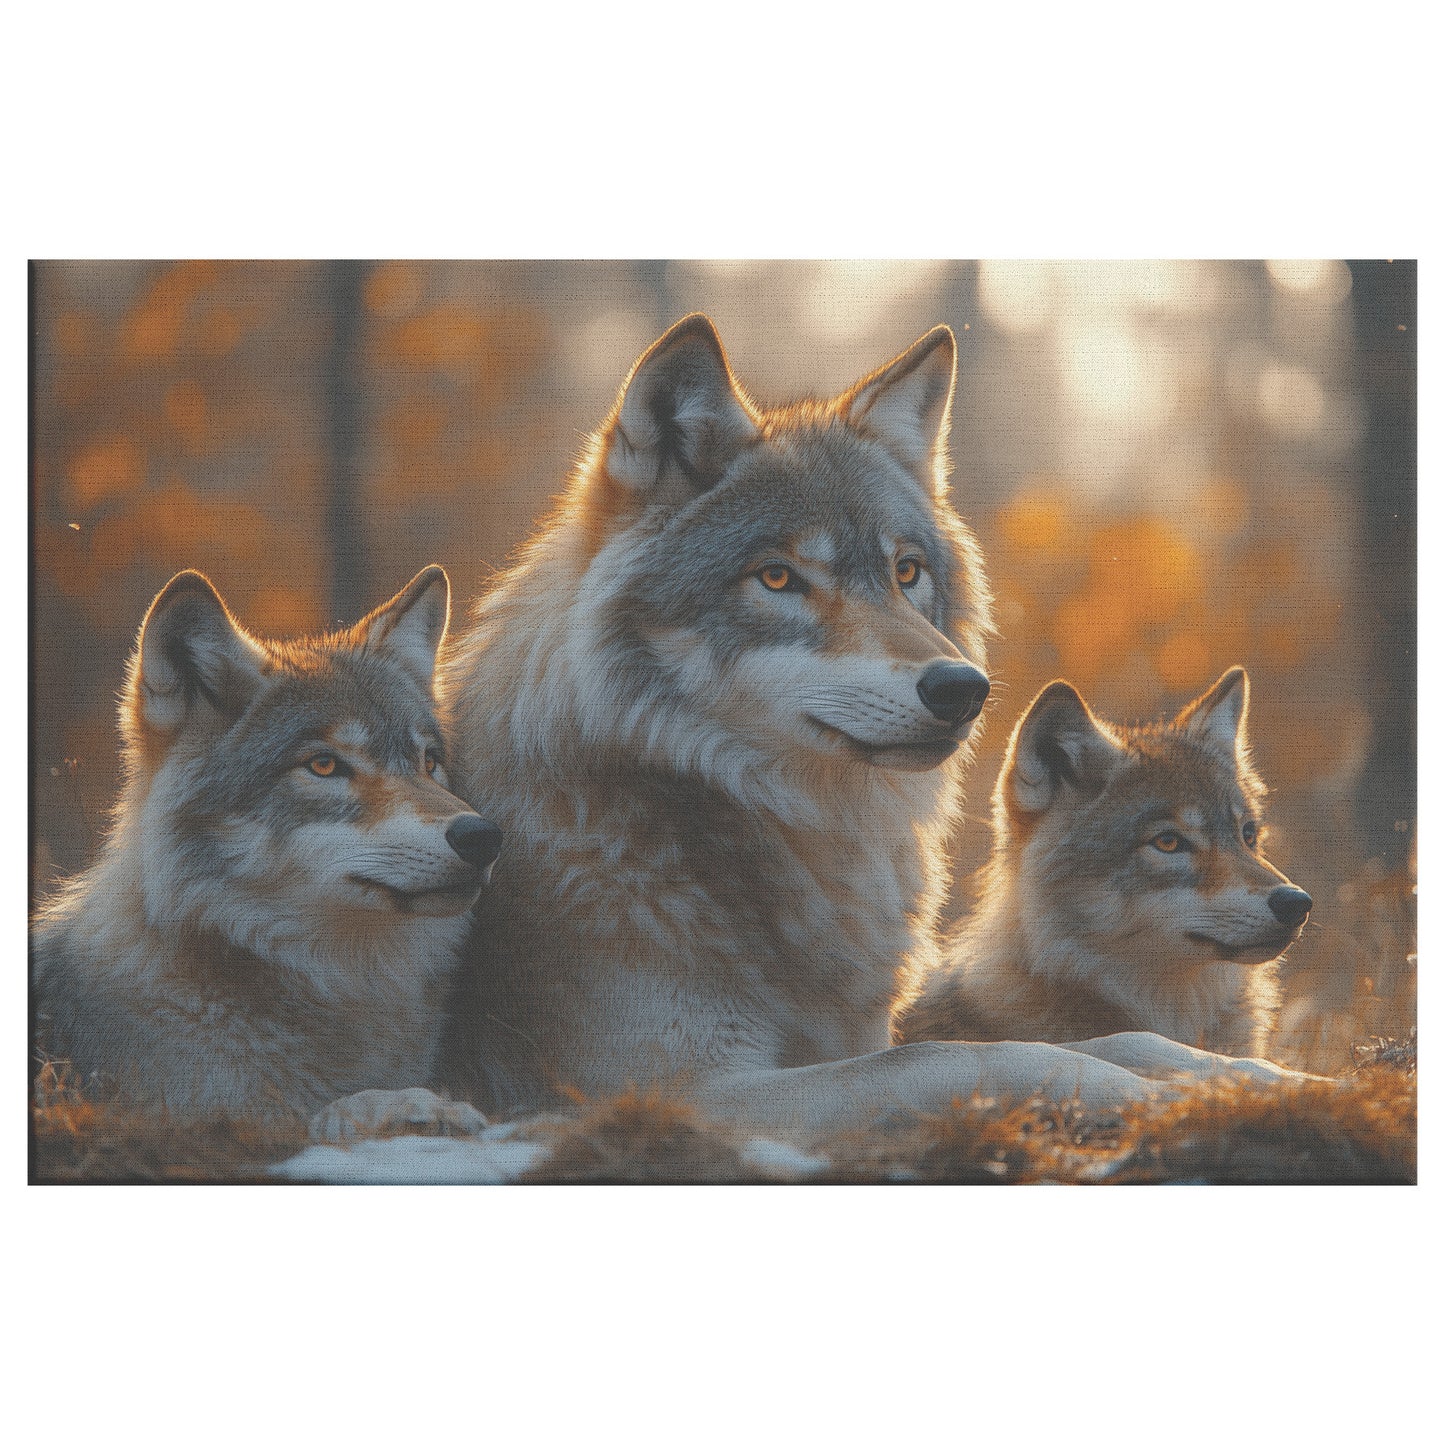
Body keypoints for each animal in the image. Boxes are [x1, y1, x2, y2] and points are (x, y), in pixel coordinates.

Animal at [33, 565, 501, 1135]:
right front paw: (416, 1106)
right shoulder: (204, 1115)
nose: (483, 836)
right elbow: (329, 1111)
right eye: (324, 765)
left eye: (428, 762)